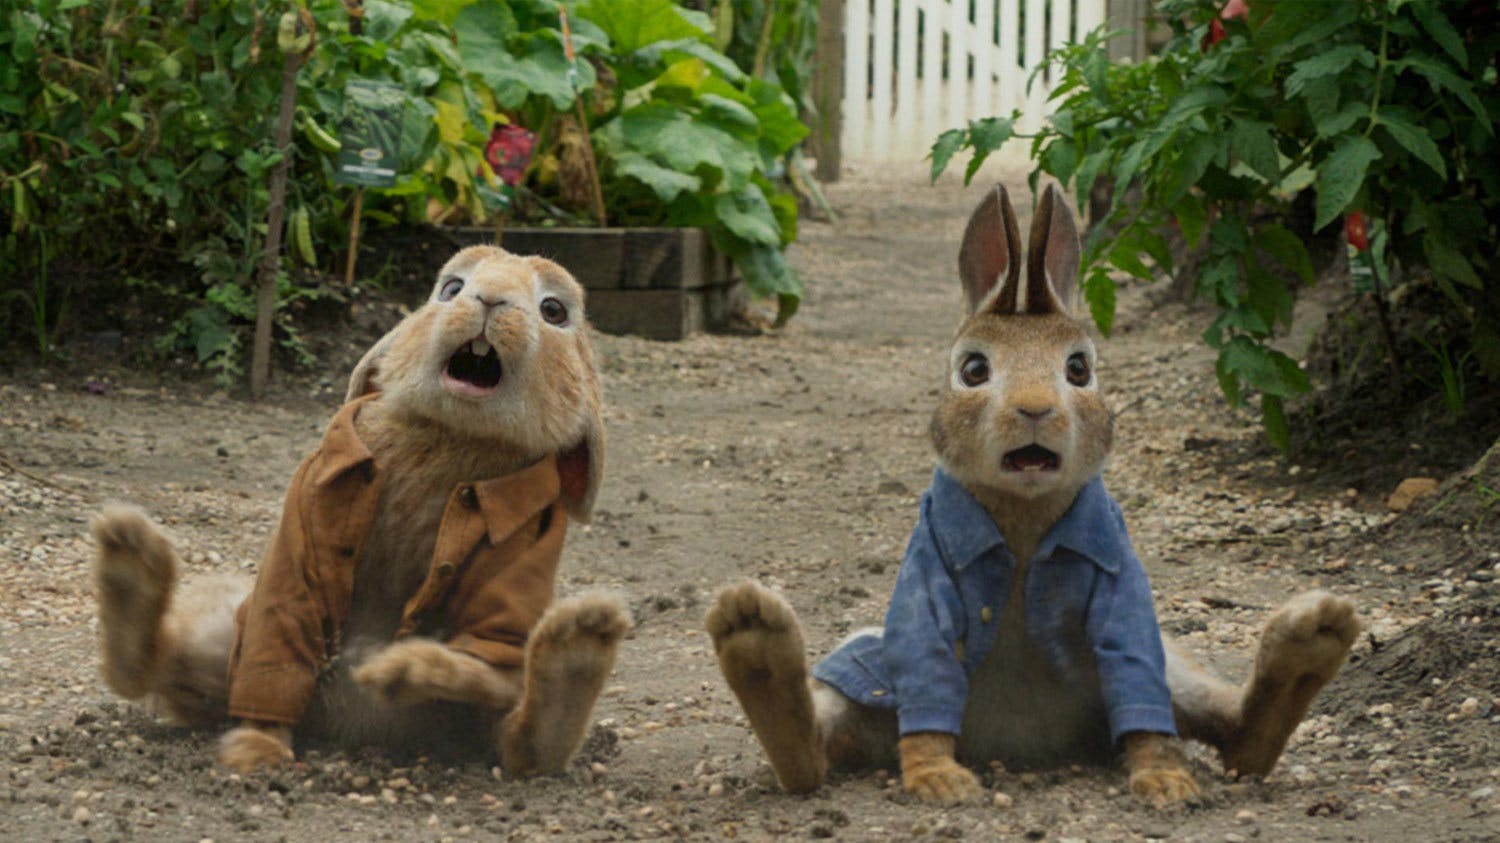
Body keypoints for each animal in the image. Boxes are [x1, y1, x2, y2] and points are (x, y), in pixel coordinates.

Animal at [90, 245, 630, 776]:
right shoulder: (300, 539)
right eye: (450, 288)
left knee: (523, 744)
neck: (456, 434)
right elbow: (281, 637)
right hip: (229, 638)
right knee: (162, 669)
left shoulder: (525, 548)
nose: (490, 298)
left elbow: (487, 642)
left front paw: (403, 668)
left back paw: (577, 641)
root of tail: (344, 726)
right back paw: (129, 552)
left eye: (554, 311)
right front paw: (256, 752)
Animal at [705, 185, 1360, 807]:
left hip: (1172, 671)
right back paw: (752, 633)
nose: (1035, 409)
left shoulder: (1122, 589)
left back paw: (1314, 637)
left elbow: (1136, 676)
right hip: (864, 675)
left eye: (1079, 370)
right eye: (973, 370)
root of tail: (1022, 745)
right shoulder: (928, 579)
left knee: (1234, 734)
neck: (1022, 516)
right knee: (816, 751)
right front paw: (938, 781)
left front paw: (1165, 783)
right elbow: (927, 667)